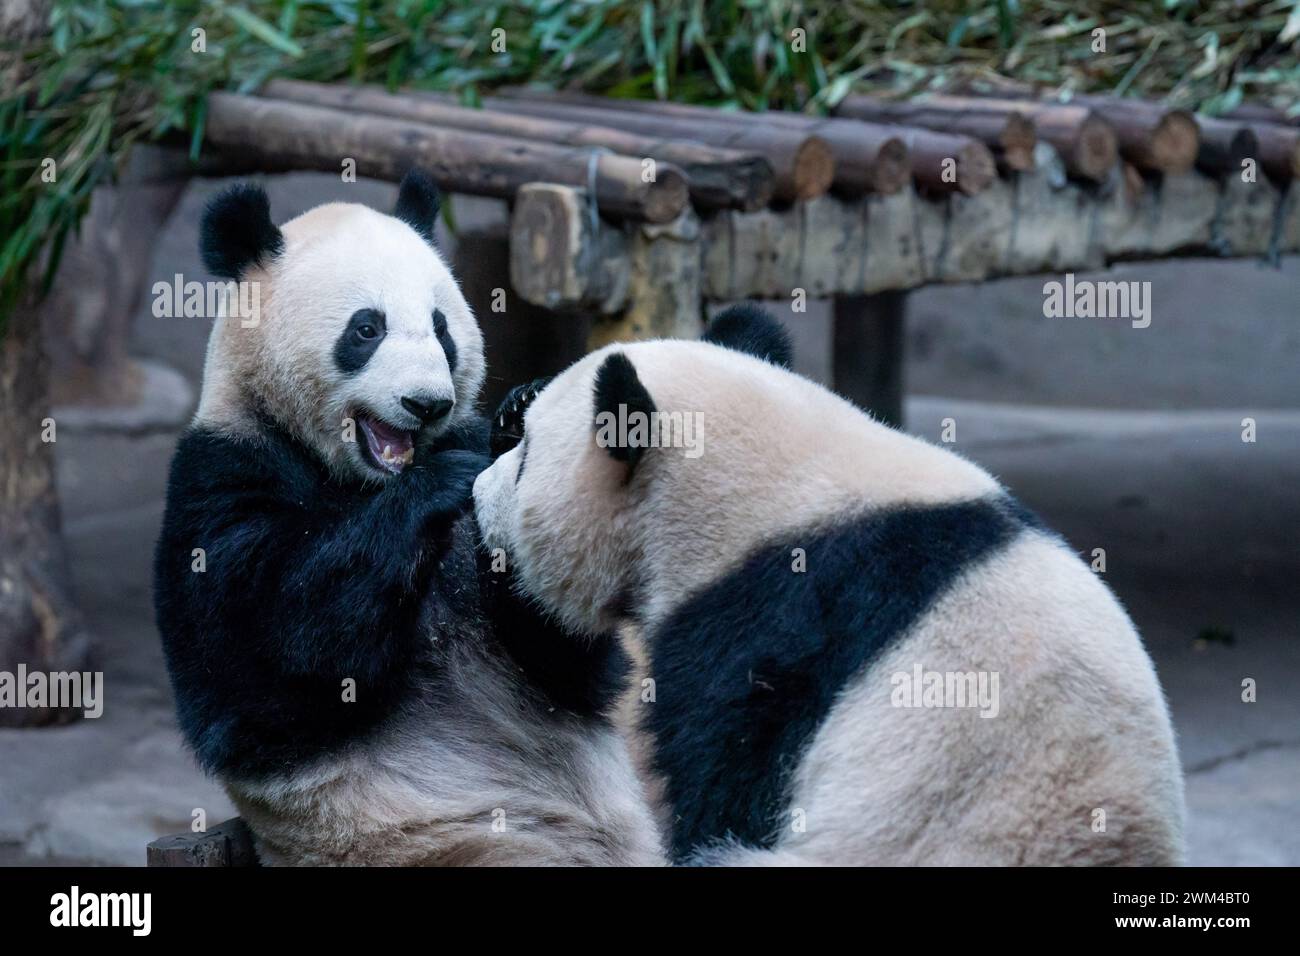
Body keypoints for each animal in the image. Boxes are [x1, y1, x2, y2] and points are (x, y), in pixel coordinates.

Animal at [153, 171, 660, 865]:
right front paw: (444, 476)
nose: (427, 404)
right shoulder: (221, 477)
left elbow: (577, 670)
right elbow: (263, 675)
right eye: (366, 329)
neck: (357, 479)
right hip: (450, 842)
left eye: (442, 328)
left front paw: (519, 414)